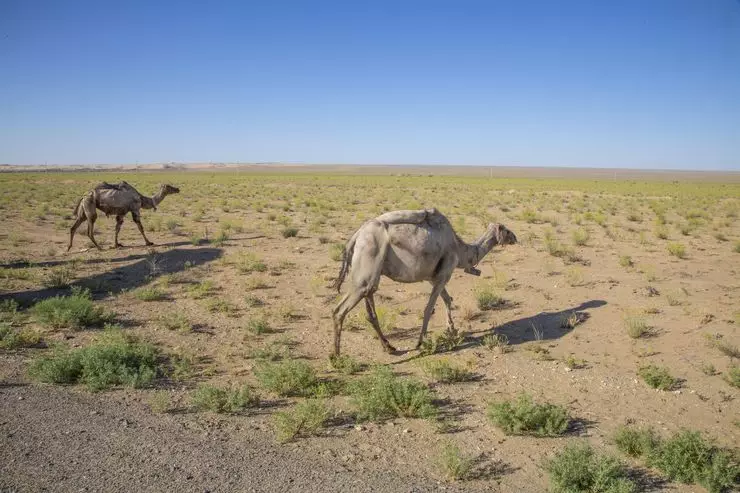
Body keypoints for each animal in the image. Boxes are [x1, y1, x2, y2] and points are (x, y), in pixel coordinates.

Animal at [332, 209, 516, 356]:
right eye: (506, 230)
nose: (515, 237)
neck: (460, 249)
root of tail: (356, 236)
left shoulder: (433, 277)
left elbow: (447, 300)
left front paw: (452, 330)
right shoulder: (444, 273)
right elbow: (429, 308)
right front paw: (421, 342)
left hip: (370, 274)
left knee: (370, 308)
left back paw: (388, 347)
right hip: (368, 263)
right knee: (339, 310)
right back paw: (337, 357)